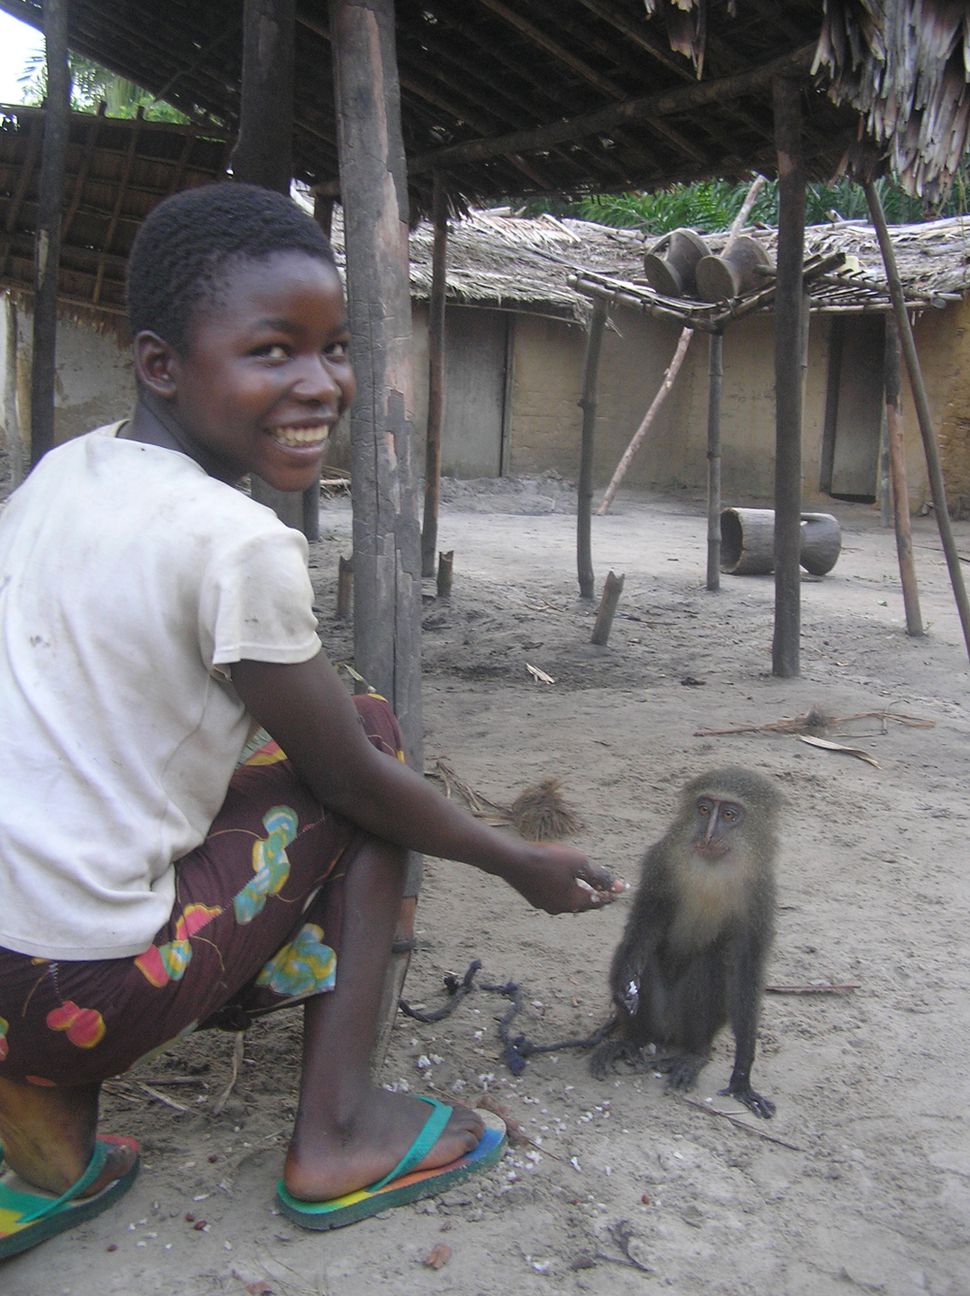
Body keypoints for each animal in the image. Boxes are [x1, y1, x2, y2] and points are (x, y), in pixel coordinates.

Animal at [591, 766, 780, 1118]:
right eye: (704, 809)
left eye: (729, 814)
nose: (707, 835)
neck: (713, 866)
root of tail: (668, 1032)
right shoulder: (661, 861)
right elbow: (645, 926)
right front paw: (627, 983)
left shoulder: (761, 894)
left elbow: (746, 967)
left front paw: (742, 1076)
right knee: (647, 957)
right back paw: (632, 1041)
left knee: (710, 964)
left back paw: (695, 1054)